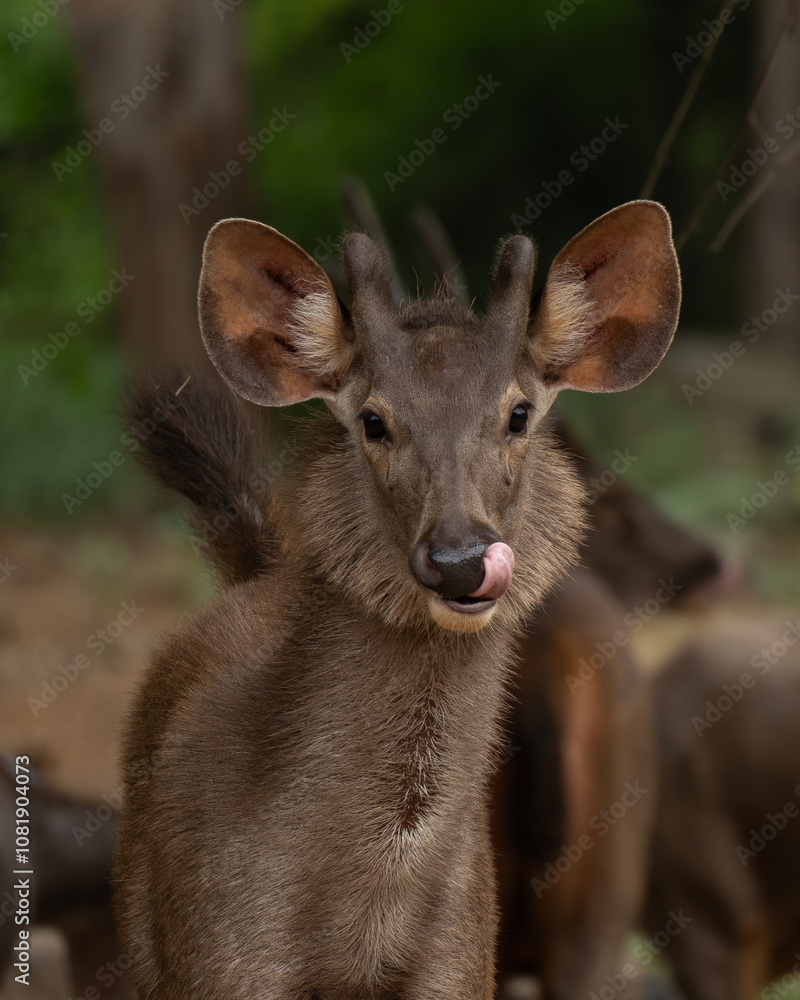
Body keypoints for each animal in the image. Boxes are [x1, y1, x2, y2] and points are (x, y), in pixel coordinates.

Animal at [113, 200, 680, 999]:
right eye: (373, 420)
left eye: (518, 413)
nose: (459, 559)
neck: (364, 921)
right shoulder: (222, 960)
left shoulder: (460, 965)